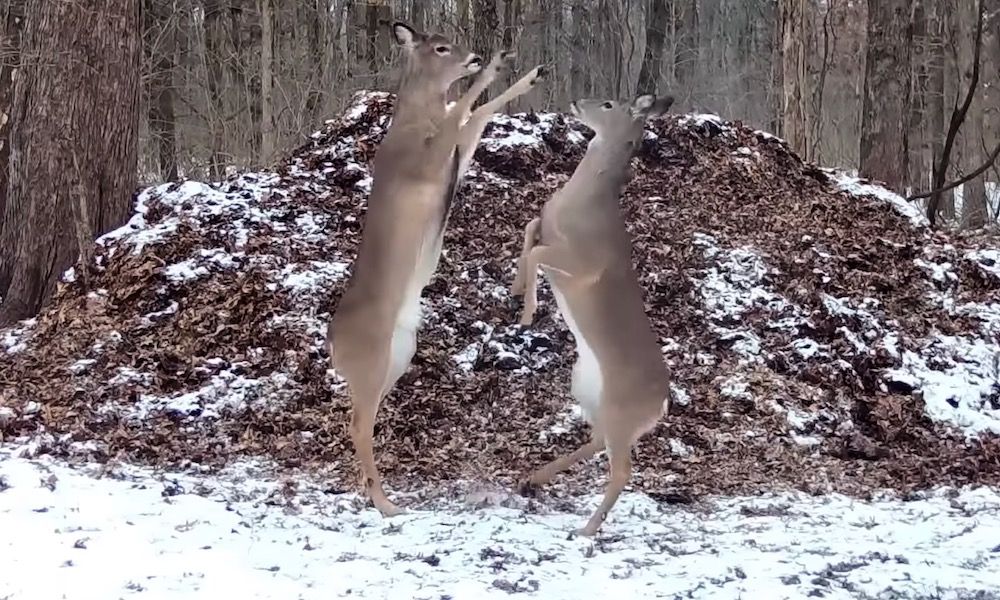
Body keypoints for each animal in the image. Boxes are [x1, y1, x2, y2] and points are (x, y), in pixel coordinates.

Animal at [326, 21, 546, 517]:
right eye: (442, 47)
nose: (475, 55)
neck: (414, 122)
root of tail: (330, 344)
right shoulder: (426, 160)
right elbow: (463, 110)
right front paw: (493, 69)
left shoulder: (455, 158)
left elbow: (477, 116)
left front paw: (527, 75)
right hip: (371, 360)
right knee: (358, 424)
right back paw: (386, 504)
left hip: (397, 356)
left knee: (359, 419)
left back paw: (372, 493)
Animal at [510, 93, 675, 536]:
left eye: (608, 103)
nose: (575, 100)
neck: (583, 200)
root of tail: (661, 403)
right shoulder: (545, 224)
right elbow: (530, 227)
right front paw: (516, 290)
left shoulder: (582, 264)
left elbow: (537, 252)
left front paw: (527, 313)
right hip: (588, 392)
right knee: (598, 442)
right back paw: (531, 478)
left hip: (620, 411)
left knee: (621, 471)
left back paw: (585, 529)